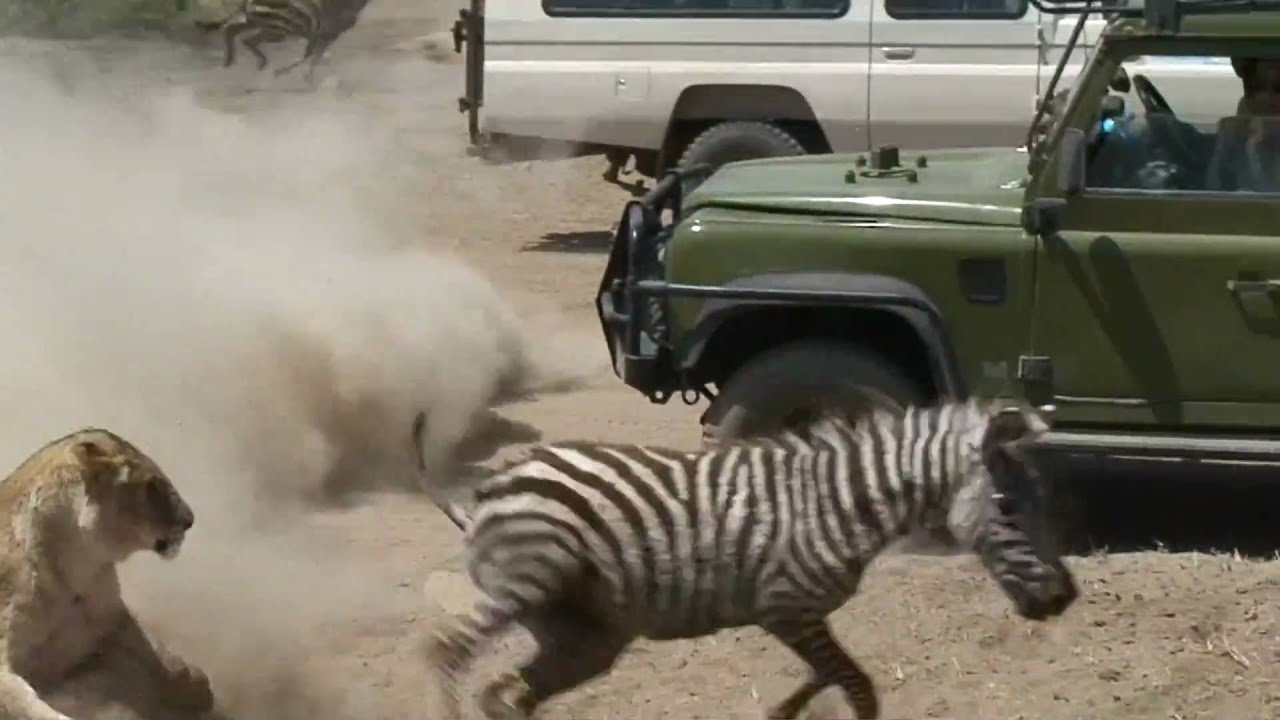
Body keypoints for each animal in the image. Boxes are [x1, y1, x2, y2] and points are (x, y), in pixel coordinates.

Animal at [0, 428, 214, 720]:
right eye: (151, 486)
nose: (190, 520)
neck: (75, 567)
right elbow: (34, 708)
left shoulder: (111, 614)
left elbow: (155, 657)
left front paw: (194, 690)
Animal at [194, 0, 371, 80]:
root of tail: (247, 2)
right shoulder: (327, 33)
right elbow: (312, 55)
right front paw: (294, 73)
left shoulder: (321, 33)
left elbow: (311, 54)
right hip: (277, 29)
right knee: (243, 37)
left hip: (259, 23)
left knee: (233, 31)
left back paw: (232, 61)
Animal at [411, 397, 1079, 720]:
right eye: (1008, 507)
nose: (1066, 598)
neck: (841, 502)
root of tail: (491, 487)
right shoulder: (785, 606)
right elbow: (857, 686)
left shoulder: (800, 615)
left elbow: (826, 677)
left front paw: (781, 713)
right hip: (530, 581)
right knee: (446, 653)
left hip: (586, 635)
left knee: (508, 692)